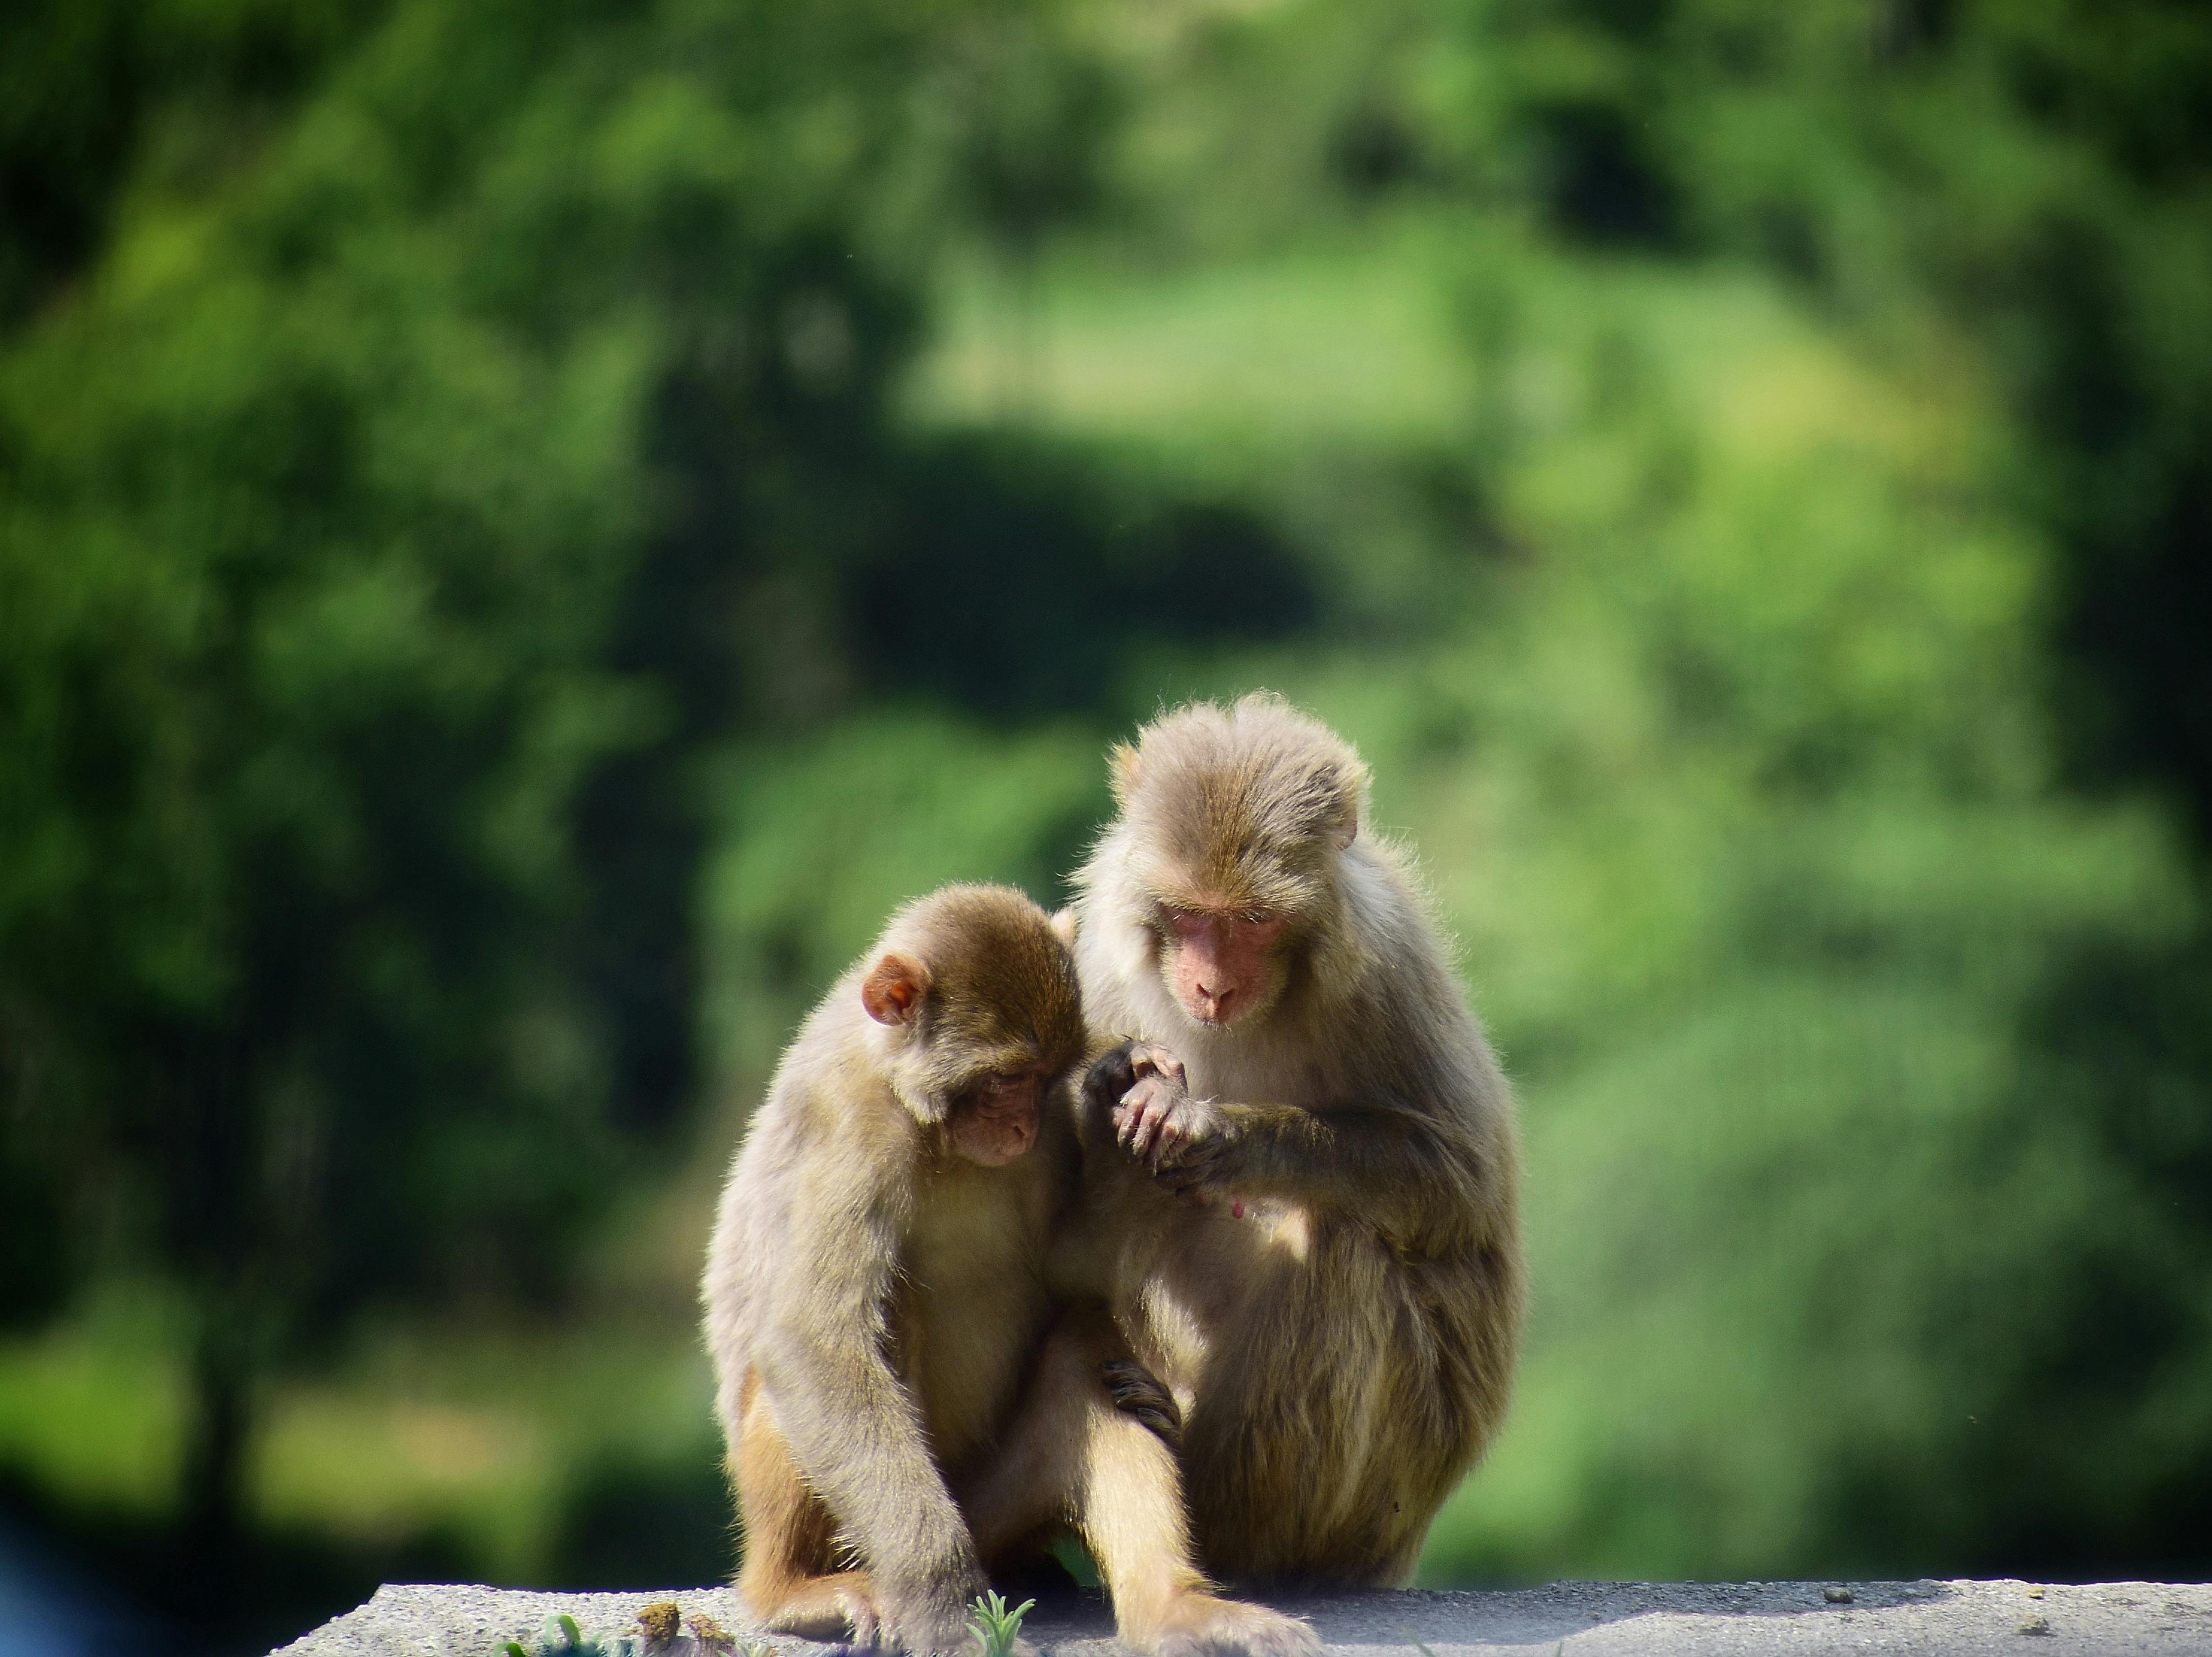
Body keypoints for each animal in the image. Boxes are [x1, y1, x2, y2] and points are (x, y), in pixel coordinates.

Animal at [701, 882, 1316, 1657]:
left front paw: (1136, 1102)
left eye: (1043, 1078)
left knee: (1083, 1349)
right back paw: (792, 1589)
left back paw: (1174, 1609)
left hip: (996, 1504)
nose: (1020, 1125)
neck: (932, 1126)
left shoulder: (1052, 1127)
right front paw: (940, 1605)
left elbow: (1072, 1270)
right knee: (878, 1317)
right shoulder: (847, 1127)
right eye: (1003, 1079)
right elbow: (813, 1344)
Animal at [1021, 693, 1525, 1588]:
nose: (1211, 986)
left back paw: (1213, 1505)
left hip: (1386, 1493)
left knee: (1343, 1241)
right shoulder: (1103, 964)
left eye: (1253, 920)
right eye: (1189, 916)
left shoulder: (1389, 968)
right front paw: (1109, 1082)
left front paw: (1224, 1134)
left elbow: (1464, 1183)